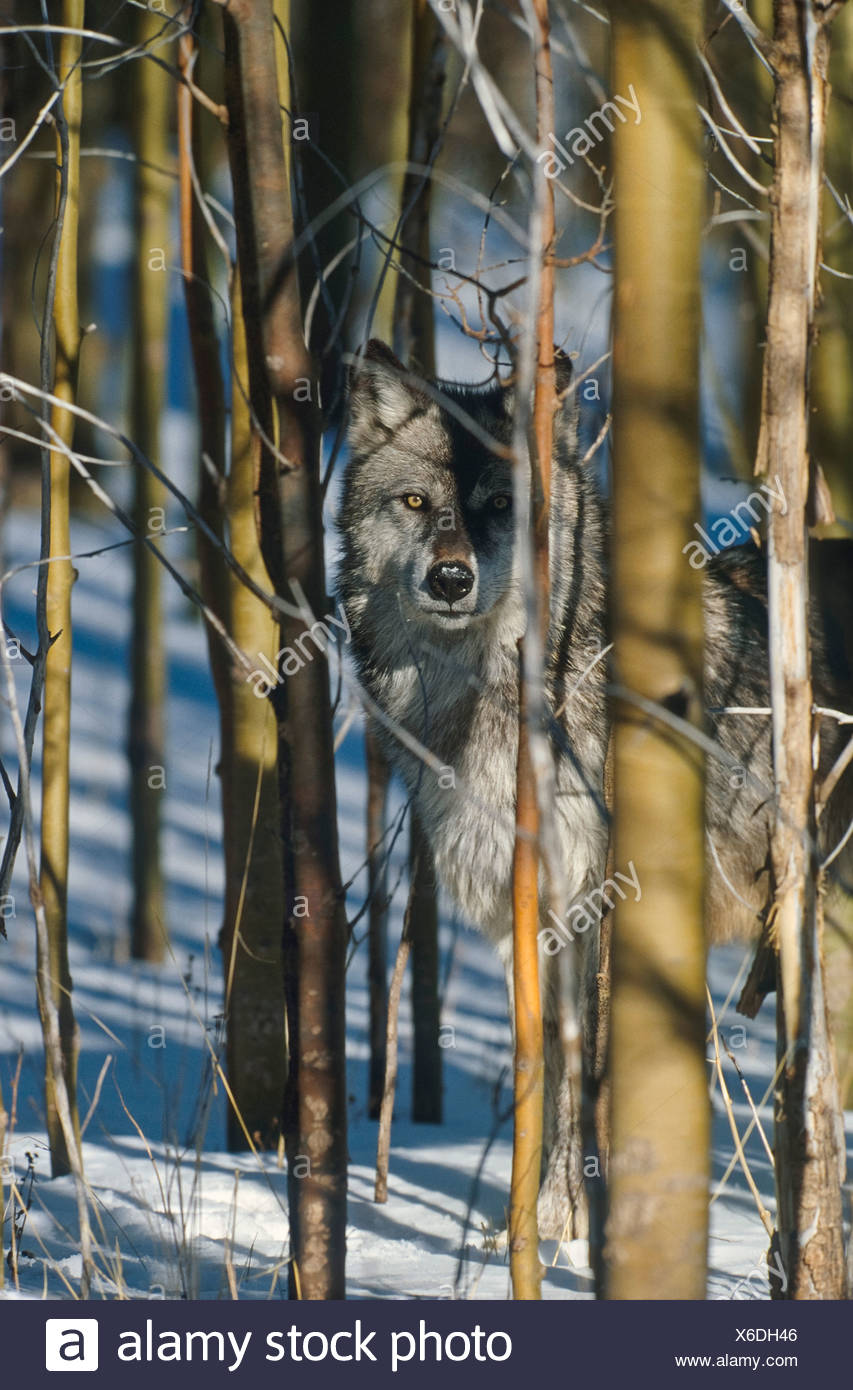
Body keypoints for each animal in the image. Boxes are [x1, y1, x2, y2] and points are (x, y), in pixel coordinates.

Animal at [337, 339, 853, 1239]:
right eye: (415, 501)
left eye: (500, 504)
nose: (448, 578)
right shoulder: (530, 920)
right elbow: (551, 1063)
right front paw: (545, 1225)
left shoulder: (607, 904)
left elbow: (596, 1071)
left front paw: (577, 1222)